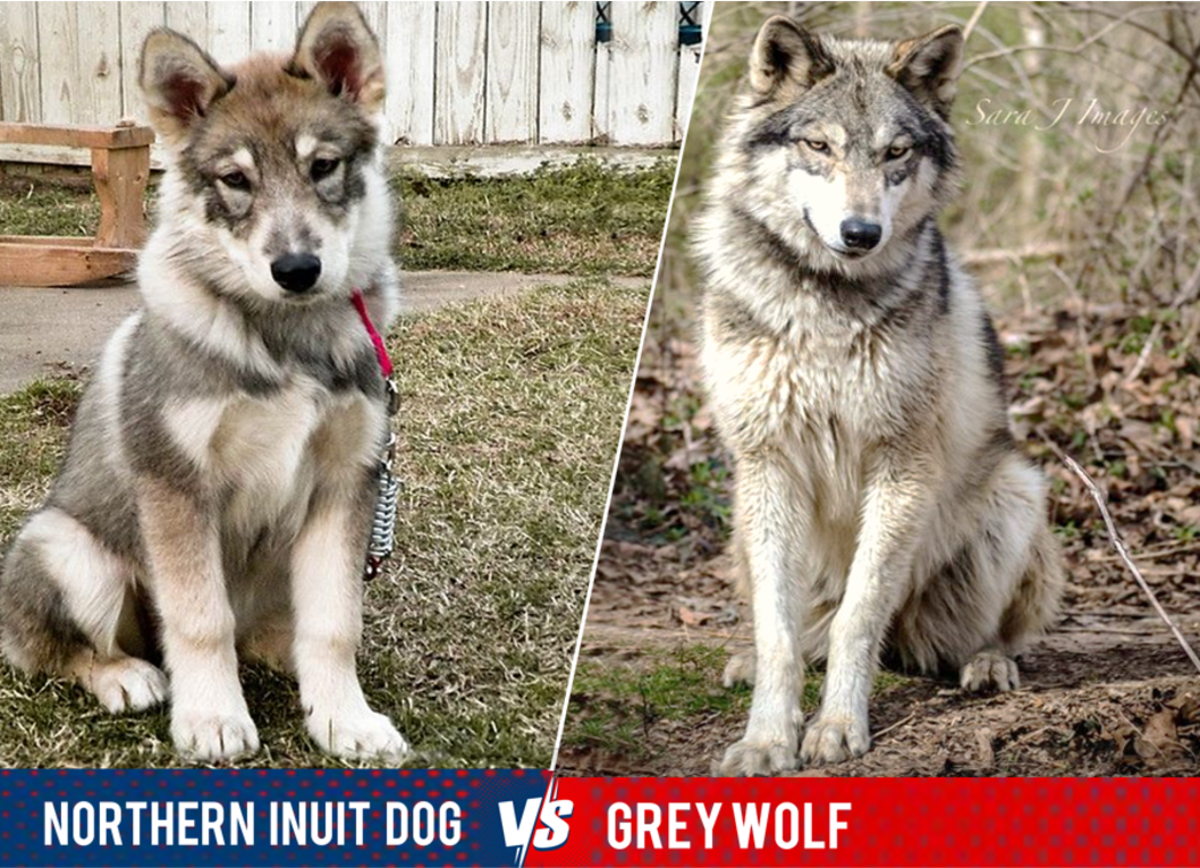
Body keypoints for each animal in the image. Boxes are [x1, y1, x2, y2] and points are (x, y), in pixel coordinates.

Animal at [0, 0, 408, 762]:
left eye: (324, 166)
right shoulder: (177, 486)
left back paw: (281, 653)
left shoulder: (347, 484)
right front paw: (214, 717)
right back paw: (125, 676)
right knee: (57, 651)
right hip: (70, 552)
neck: (284, 342)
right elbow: (199, 618)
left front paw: (345, 718)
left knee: (270, 629)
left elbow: (335, 621)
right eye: (235, 180)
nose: (297, 270)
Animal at [692, 16, 1064, 775]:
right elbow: (779, 634)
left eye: (896, 152)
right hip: (743, 526)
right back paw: (745, 661)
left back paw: (987, 664)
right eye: (819, 146)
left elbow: (859, 616)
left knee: (987, 635)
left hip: (1014, 496)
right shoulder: (769, 463)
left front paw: (836, 727)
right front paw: (768, 737)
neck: (824, 306)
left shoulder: (902, 466)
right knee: (798, 630)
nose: (860, 232)